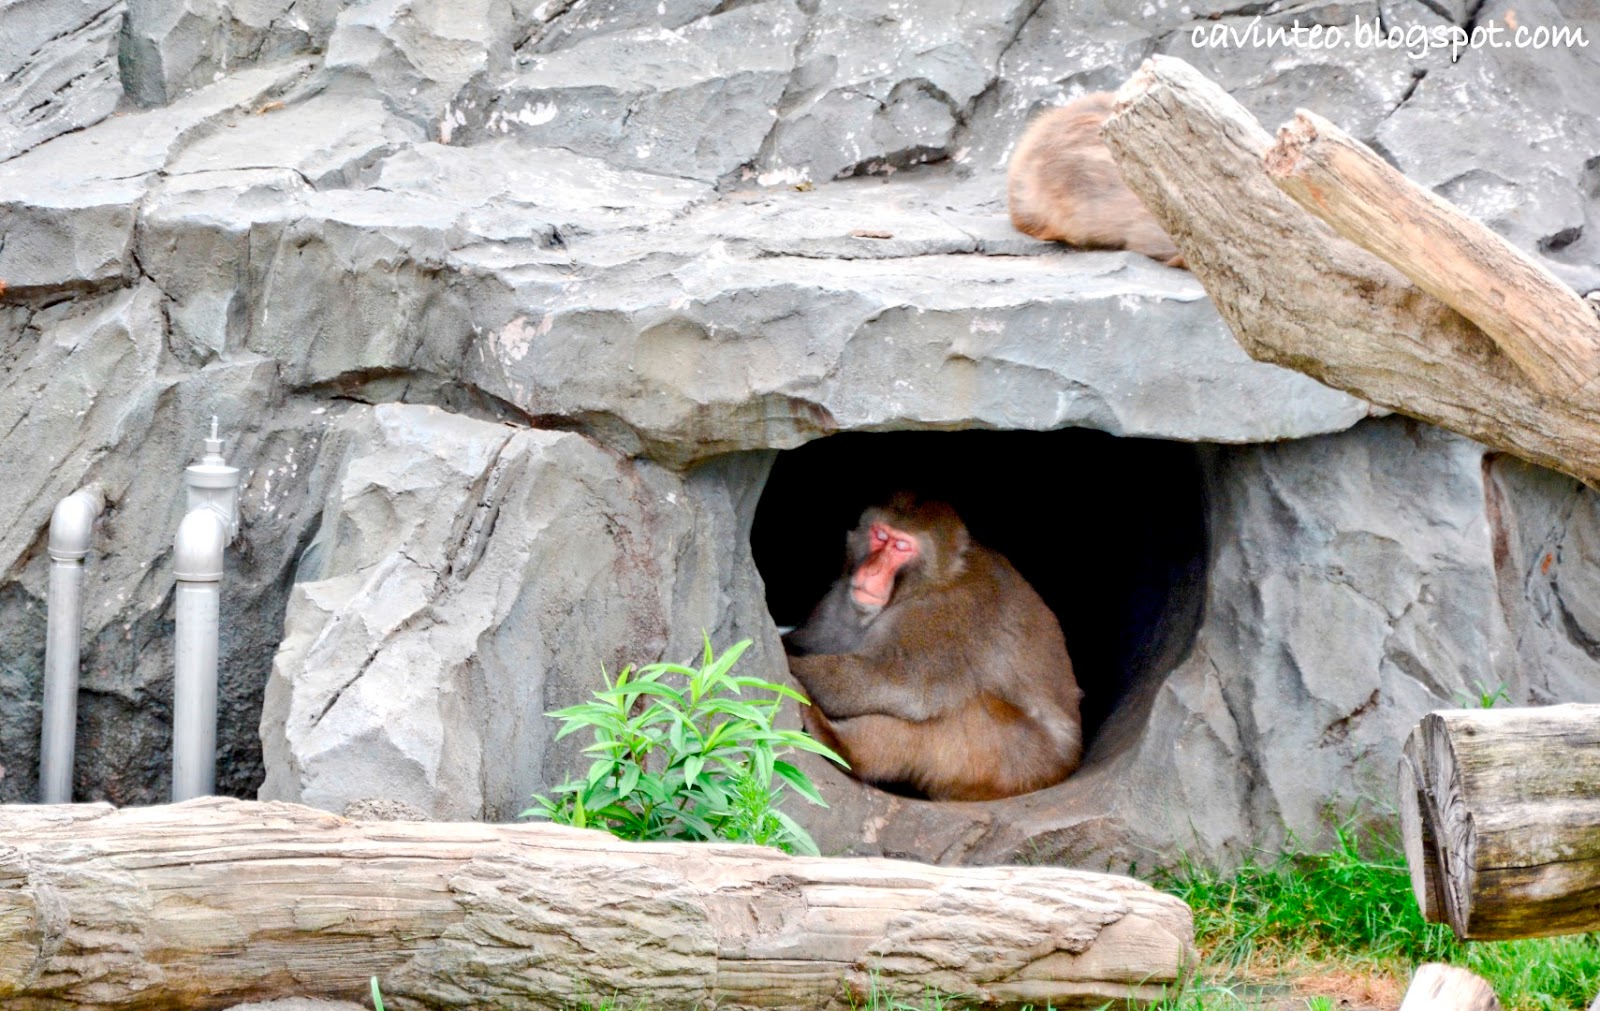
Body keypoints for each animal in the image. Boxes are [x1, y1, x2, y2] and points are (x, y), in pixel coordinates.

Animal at [783, 494, 1083, 802]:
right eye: (880, 536)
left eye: (902, 546)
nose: (872, 569)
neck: (934, 581)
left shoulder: (945, 616)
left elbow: (889, 682)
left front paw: (790, 664)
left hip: (1017, 768)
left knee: (966, 708)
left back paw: (841, 745)